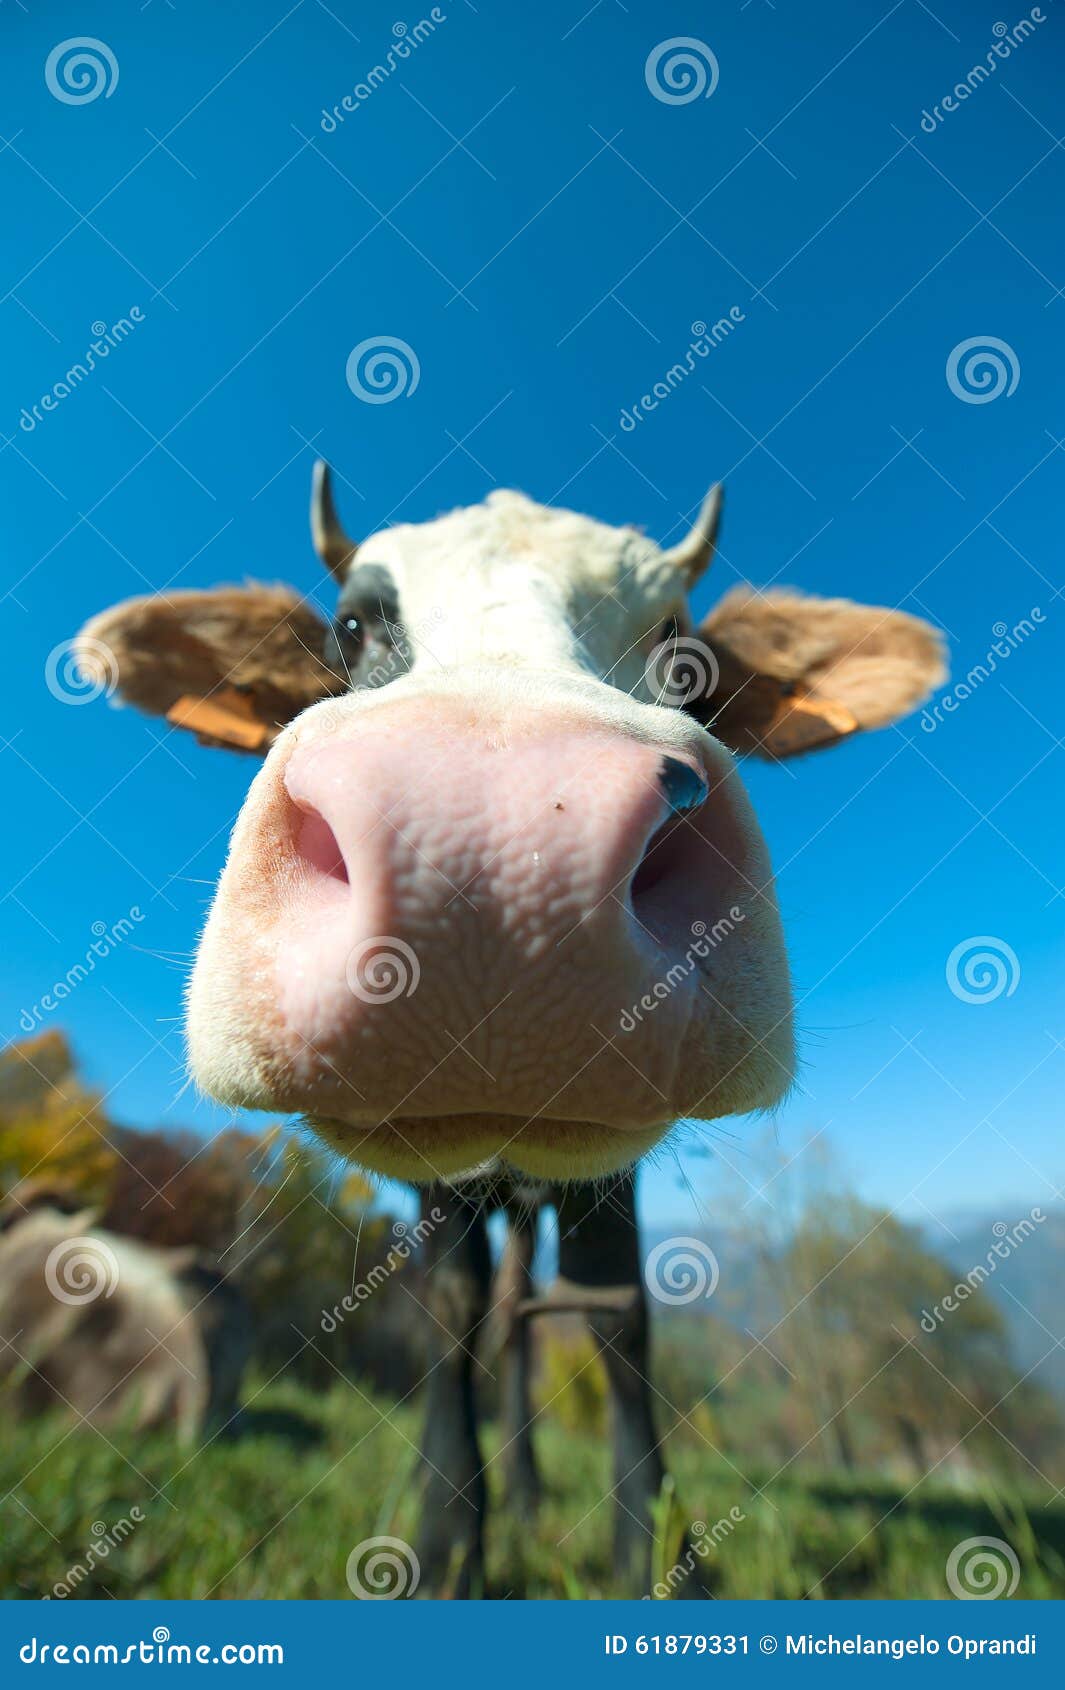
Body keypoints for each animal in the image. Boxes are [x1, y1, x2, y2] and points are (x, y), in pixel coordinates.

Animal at [75, 466, 944, 1592]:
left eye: (680, 640)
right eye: (351, 624)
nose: (496, 851)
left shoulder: (613, 1178)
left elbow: (617, 1312)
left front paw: (647, 1547)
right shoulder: (431, 1182)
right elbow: (452, 1307)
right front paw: (447, 1536)